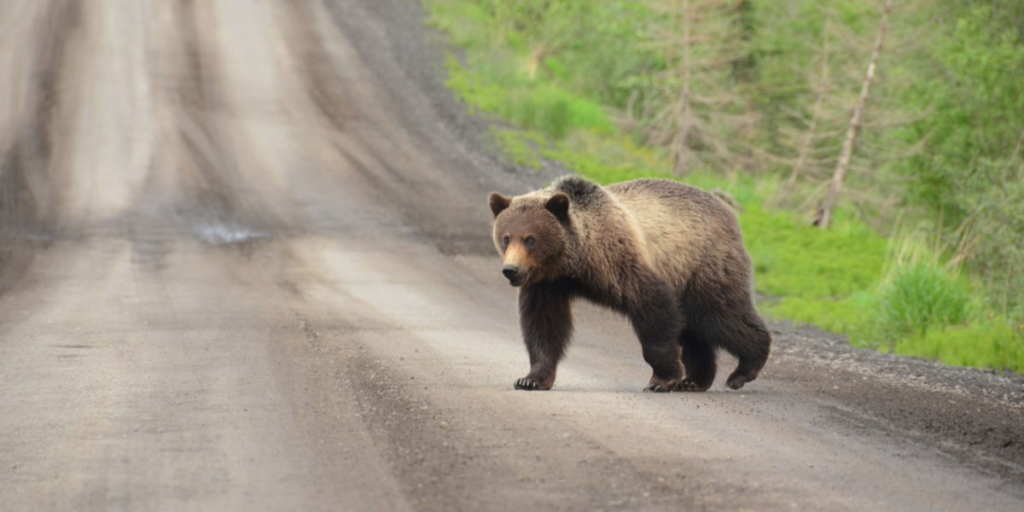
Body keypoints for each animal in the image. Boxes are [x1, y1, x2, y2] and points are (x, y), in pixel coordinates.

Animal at [488, 175, 771, 392]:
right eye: (506, 237)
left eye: (530, 239)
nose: (510, 270)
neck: (574, 262)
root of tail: (729, 214)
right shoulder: (547, 284)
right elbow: (543, 325)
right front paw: (531, 379)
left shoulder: (618, 260)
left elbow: (652, 304)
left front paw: (662, 379)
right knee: (695, 329)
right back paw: (695, 380)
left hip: (701, 266)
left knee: (720, 314)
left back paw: (743, 370)